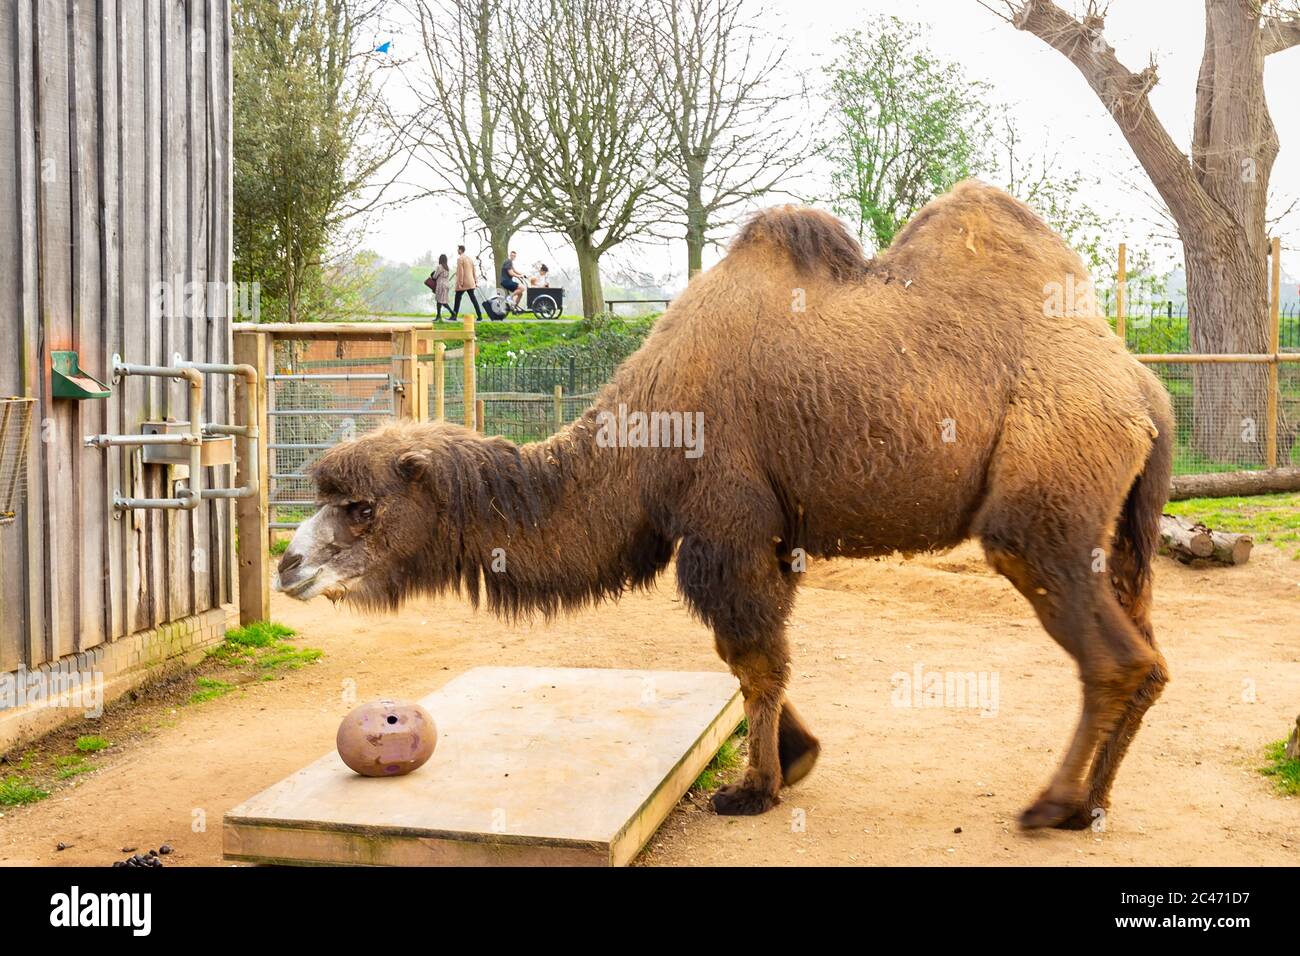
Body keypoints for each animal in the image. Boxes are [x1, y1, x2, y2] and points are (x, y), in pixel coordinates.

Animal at [276, 180, 1174, 829]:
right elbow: (755, 651)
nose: (288, 564)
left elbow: (750, 655)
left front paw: (753, 790)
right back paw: (1093, 804)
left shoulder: (724, 524)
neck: (641, 437)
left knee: (1112, 652)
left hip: (1043, 502)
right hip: (1121, 525)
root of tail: (1144, 390)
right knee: (1148, 648)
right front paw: (797, 758)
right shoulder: (772, 537)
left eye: (359, 506)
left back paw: (1053, 804)